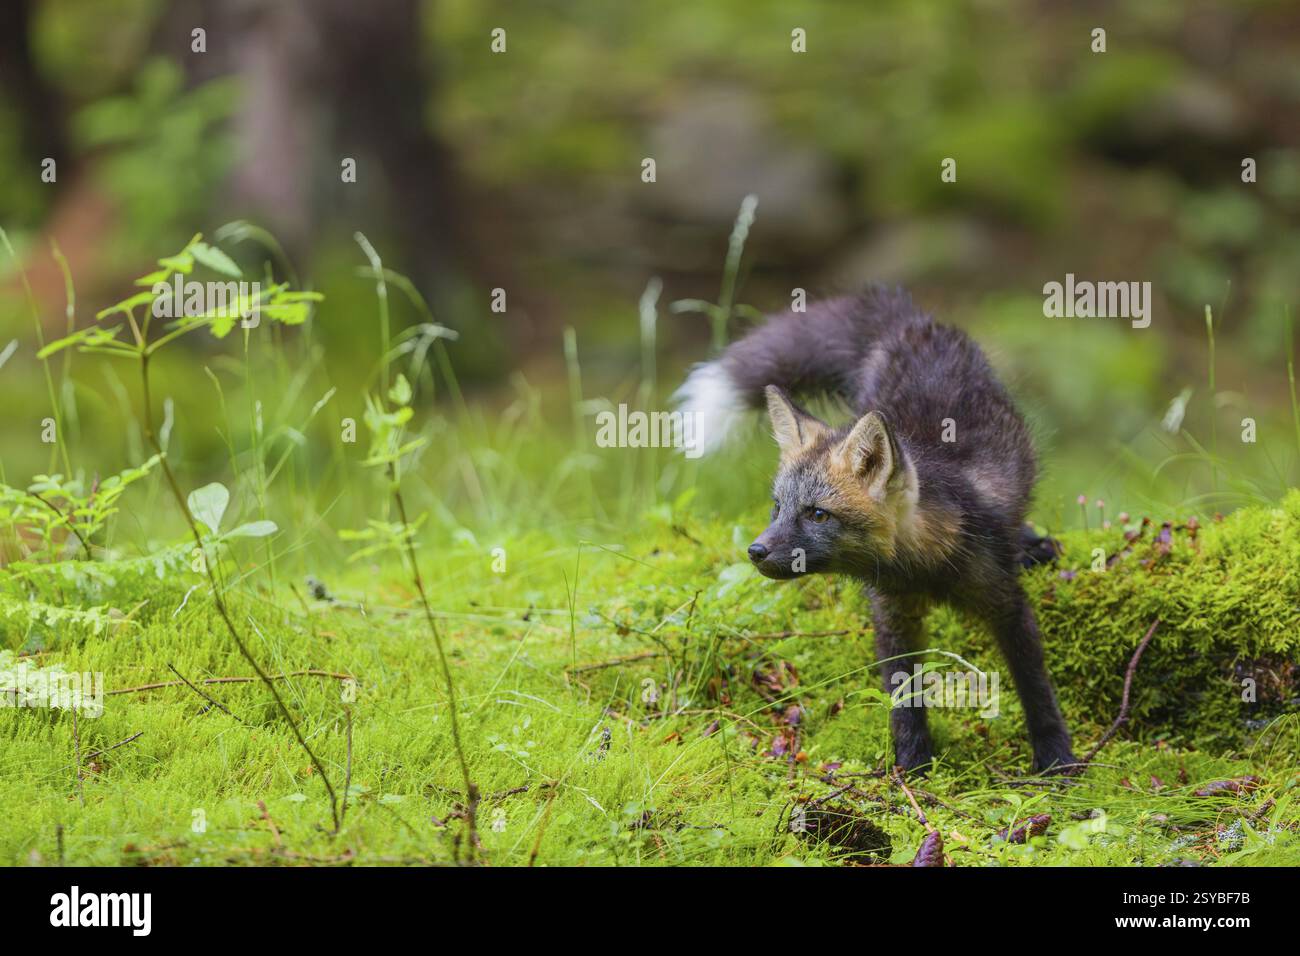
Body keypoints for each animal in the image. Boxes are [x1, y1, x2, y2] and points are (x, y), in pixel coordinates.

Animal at [675, 287, 1077, 773]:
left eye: (818, 515)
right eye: (777, 508)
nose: (756, 551)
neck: (925, 569)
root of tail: (904, 318)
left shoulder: (1007, 603)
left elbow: (1036, 688)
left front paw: (1057, 759)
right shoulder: (893, 615)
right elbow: (904, 698)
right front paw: (912, 766)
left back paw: (1031, 544)